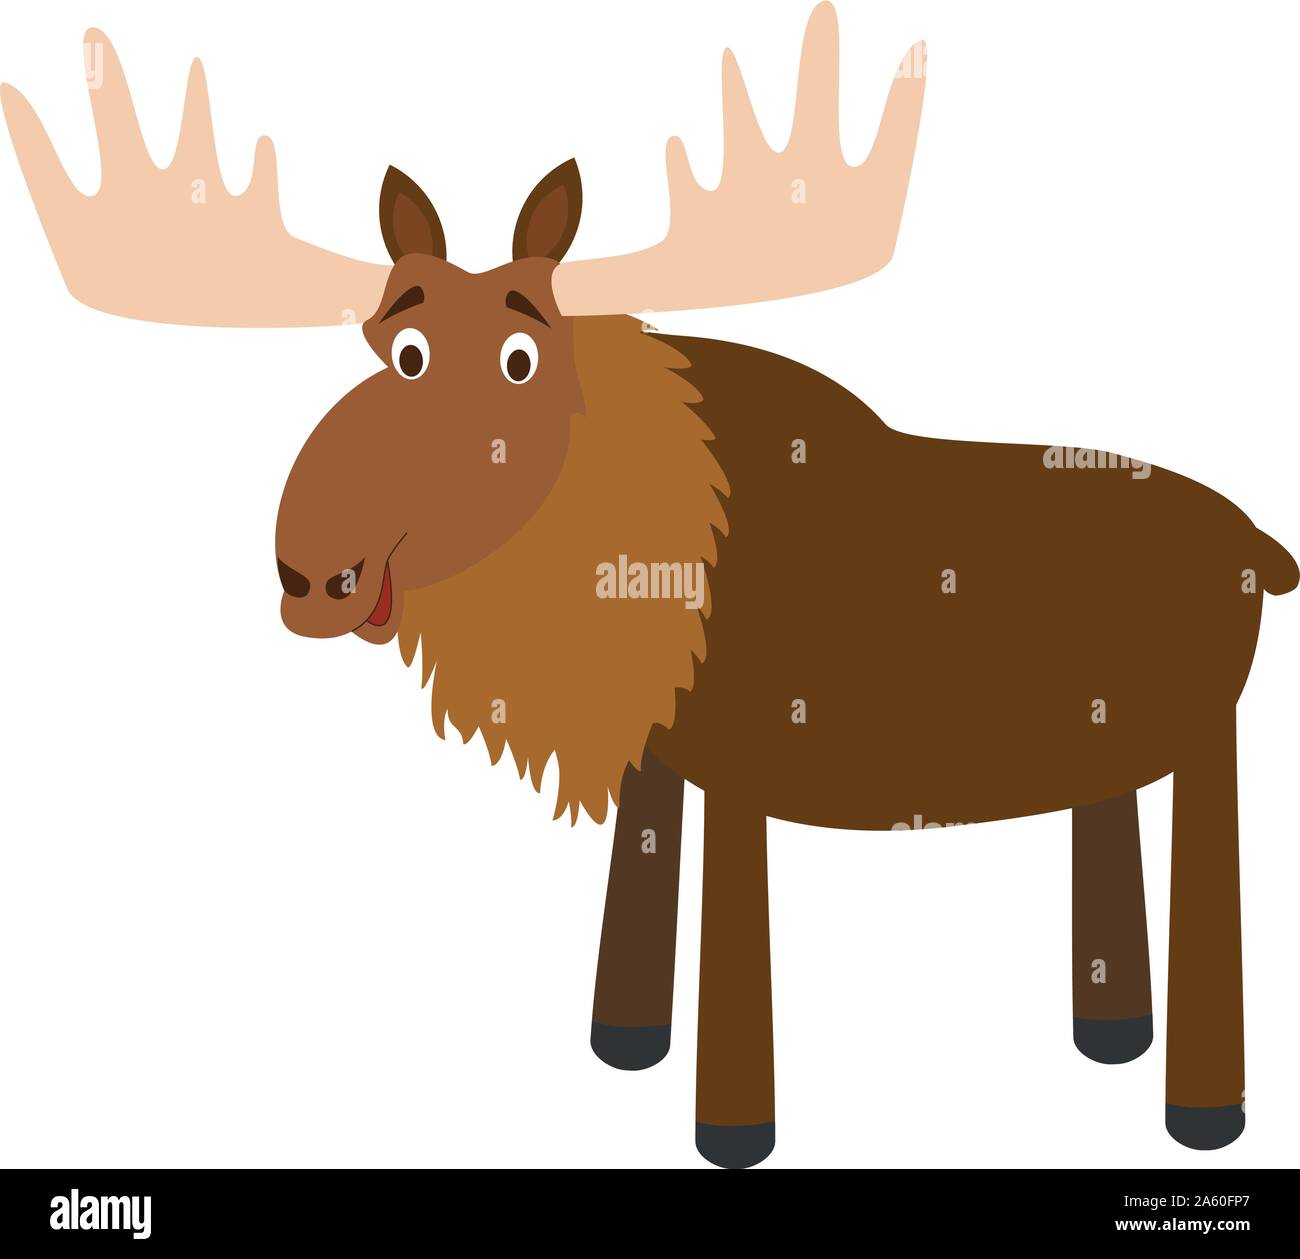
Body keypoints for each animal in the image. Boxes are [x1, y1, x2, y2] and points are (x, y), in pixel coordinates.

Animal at [4, 4, 1294, 1169]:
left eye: (520, 356)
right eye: (391, 344)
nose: (317, 566)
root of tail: (1263, 545)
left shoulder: (745, 762)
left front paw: (730, 1133)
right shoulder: (655, 748)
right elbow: (634, 914)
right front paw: (620, 1049)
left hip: (1213, 743)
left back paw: (1200, 1111)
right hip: (1115, 740)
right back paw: (1111, 1030)